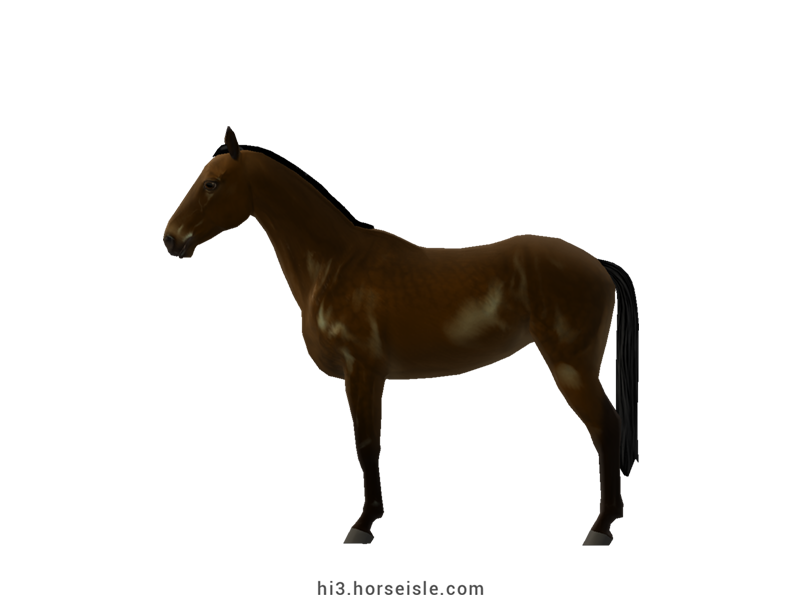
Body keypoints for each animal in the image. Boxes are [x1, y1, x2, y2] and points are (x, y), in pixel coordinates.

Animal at [164, 129, 638, 536]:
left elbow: (366, 442)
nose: (171, 239)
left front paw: (365, 521)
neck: (335, 263)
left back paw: (601, 525)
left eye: (211, 184)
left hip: (572, 364)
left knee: (606, 428)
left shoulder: (361, 368)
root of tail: (598, 267)